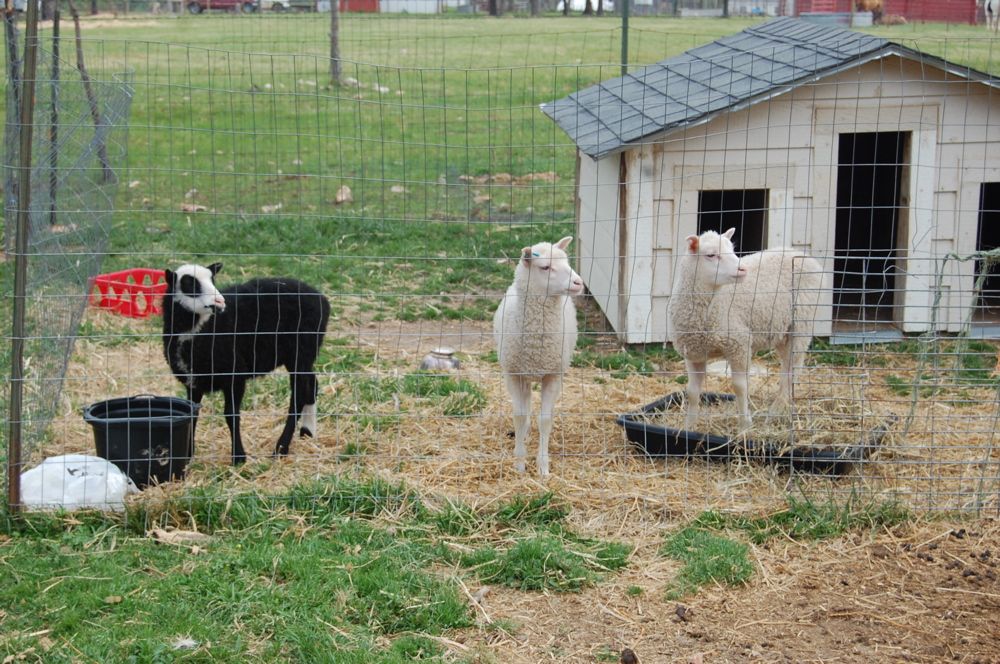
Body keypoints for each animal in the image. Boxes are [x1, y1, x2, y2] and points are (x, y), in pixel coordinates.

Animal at [161, 263, 331, 464]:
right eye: (190, 285)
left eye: (213, 280)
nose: (220, 301)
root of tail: (321, 298)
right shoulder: (193, 381)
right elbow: (192, 413)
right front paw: (188, 455)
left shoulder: (235, 376)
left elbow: (231, 414)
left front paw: (239, 457)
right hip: (301, 356)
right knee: (311, 384)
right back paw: (307, 432)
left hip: (302, 350)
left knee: (299, 393)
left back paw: (281, 447)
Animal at [493, 236, 584, 477]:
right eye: (545, 267)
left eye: (567, 261)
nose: (579, 283)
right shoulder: (514, 375)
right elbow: (519, 416)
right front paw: (520, 464)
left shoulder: (552, 375)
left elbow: (545, 420)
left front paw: (543, 467)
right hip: (523, 374)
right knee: (524, 408)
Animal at [669, 228, 825, 431]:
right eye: (711, 255)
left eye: (732, 249)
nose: (743, 269)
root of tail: (802, 255)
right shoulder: (693, 353)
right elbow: (693, 392)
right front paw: (688, 427)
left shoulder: (739, 344)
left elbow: (739, 387)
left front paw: (744, 426)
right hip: (783, 330)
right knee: (788, 366)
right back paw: (782, 406)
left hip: (802, 322)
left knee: (793, 367)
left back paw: (776, 411)